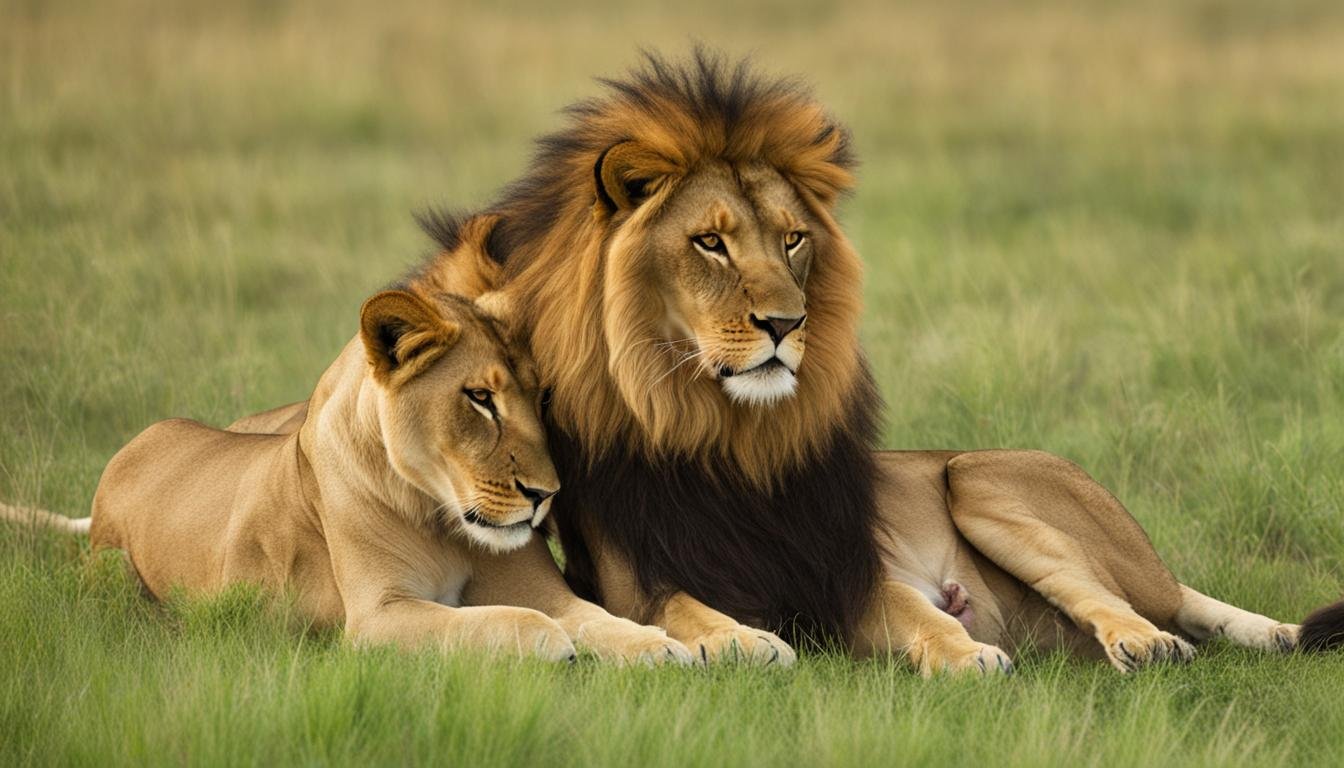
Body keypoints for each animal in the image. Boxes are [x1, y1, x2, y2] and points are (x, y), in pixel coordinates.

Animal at [2, 217, 692, 666]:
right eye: (479, 398)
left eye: (542, 397)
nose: (545, 494)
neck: (439, 517)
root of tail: (131, 450)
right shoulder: (376, 617)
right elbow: (511, 619)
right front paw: (554, 642)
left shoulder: (548, 590)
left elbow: (595, 616)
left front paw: (665, 645)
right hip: (114, 578)